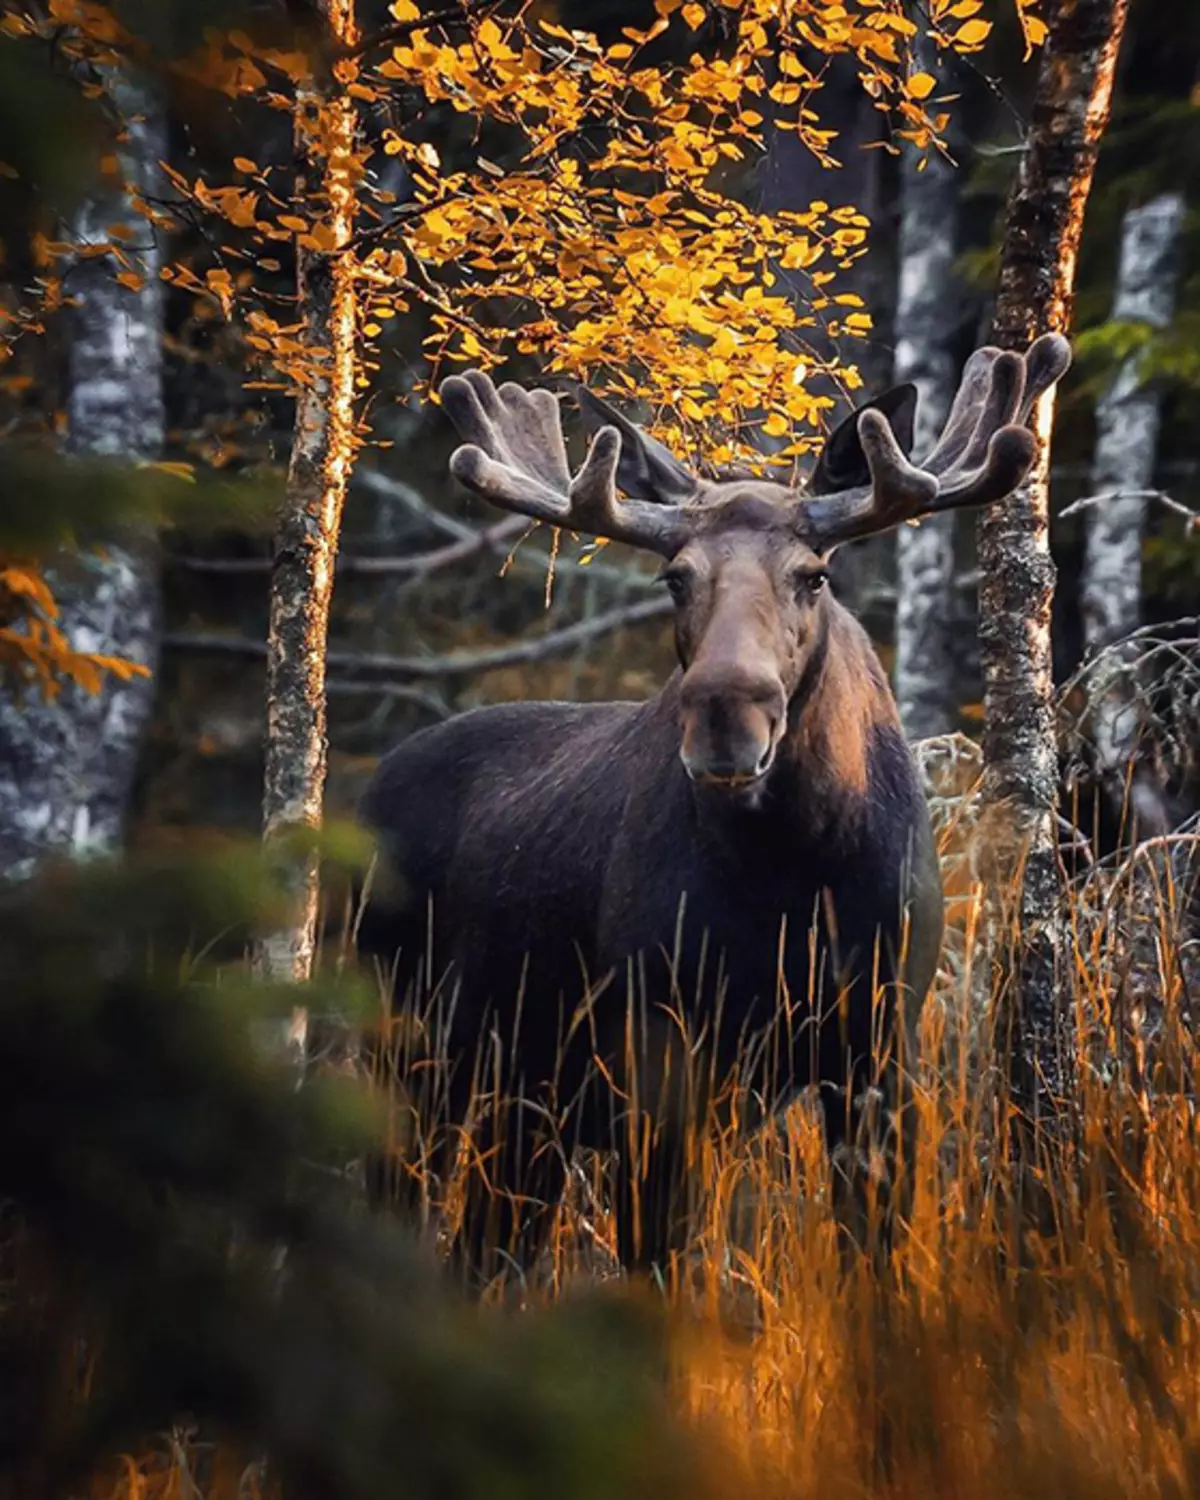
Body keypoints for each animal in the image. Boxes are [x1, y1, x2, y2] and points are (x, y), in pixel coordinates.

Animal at [357, 337, 1068, 1278]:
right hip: (406, 1041)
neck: (792, 874)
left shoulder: (880, 1041)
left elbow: (872, 1259)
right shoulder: (658, 1042)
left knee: (485, 1247)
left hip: (525, 1097)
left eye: (814, 574)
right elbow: (661, 1264)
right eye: (674, 576)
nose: (728, 714)